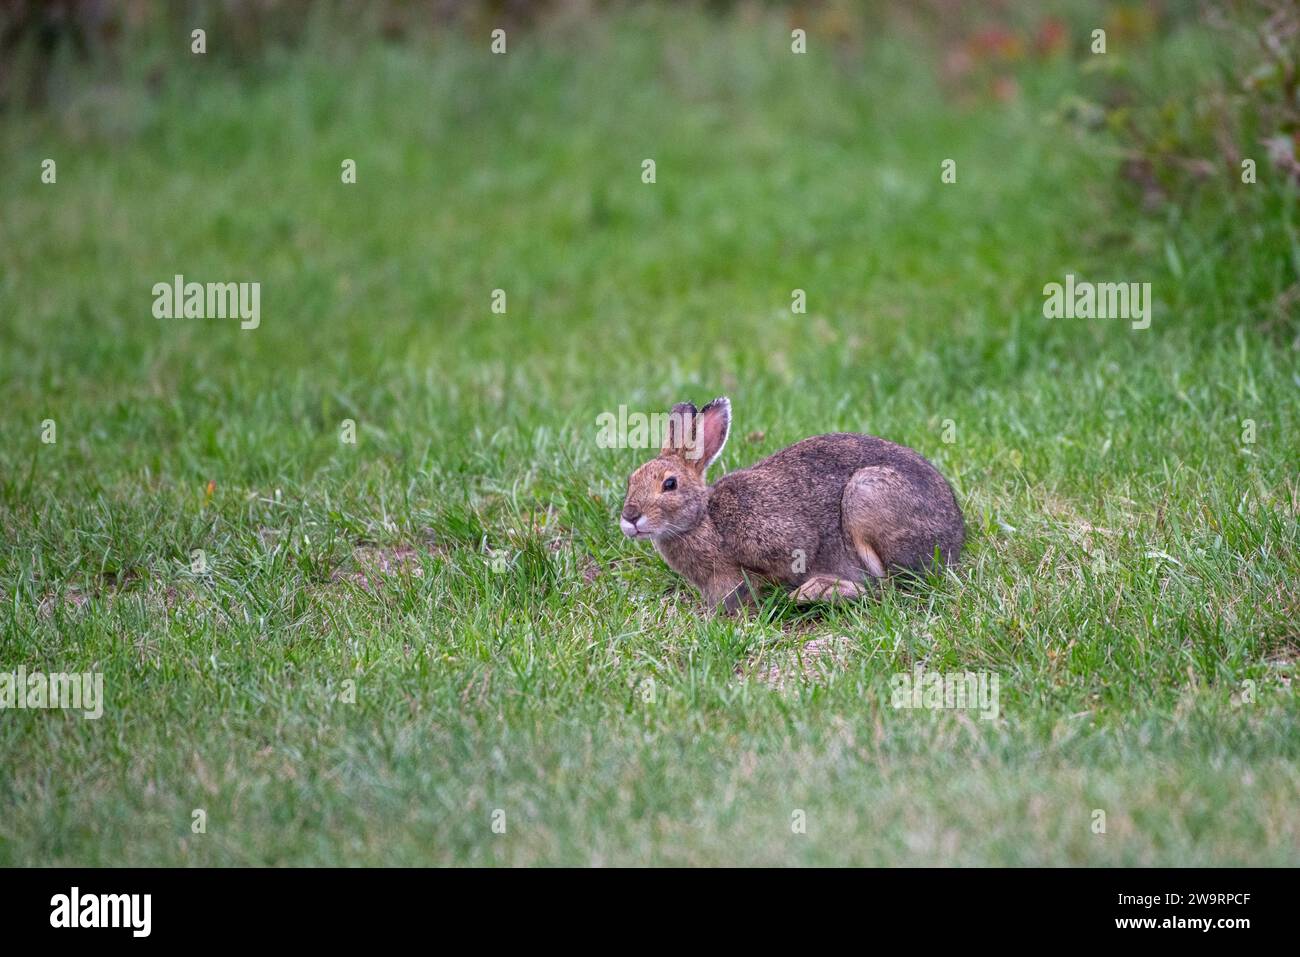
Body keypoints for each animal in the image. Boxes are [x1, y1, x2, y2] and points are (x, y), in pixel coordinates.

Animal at [619, 398, 964, 614]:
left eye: (670, 484)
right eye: (631, 480)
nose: (630, 517)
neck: (705, 519)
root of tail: (955, 538)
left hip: (866, 497)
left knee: (887, 588)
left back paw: (817, 592)